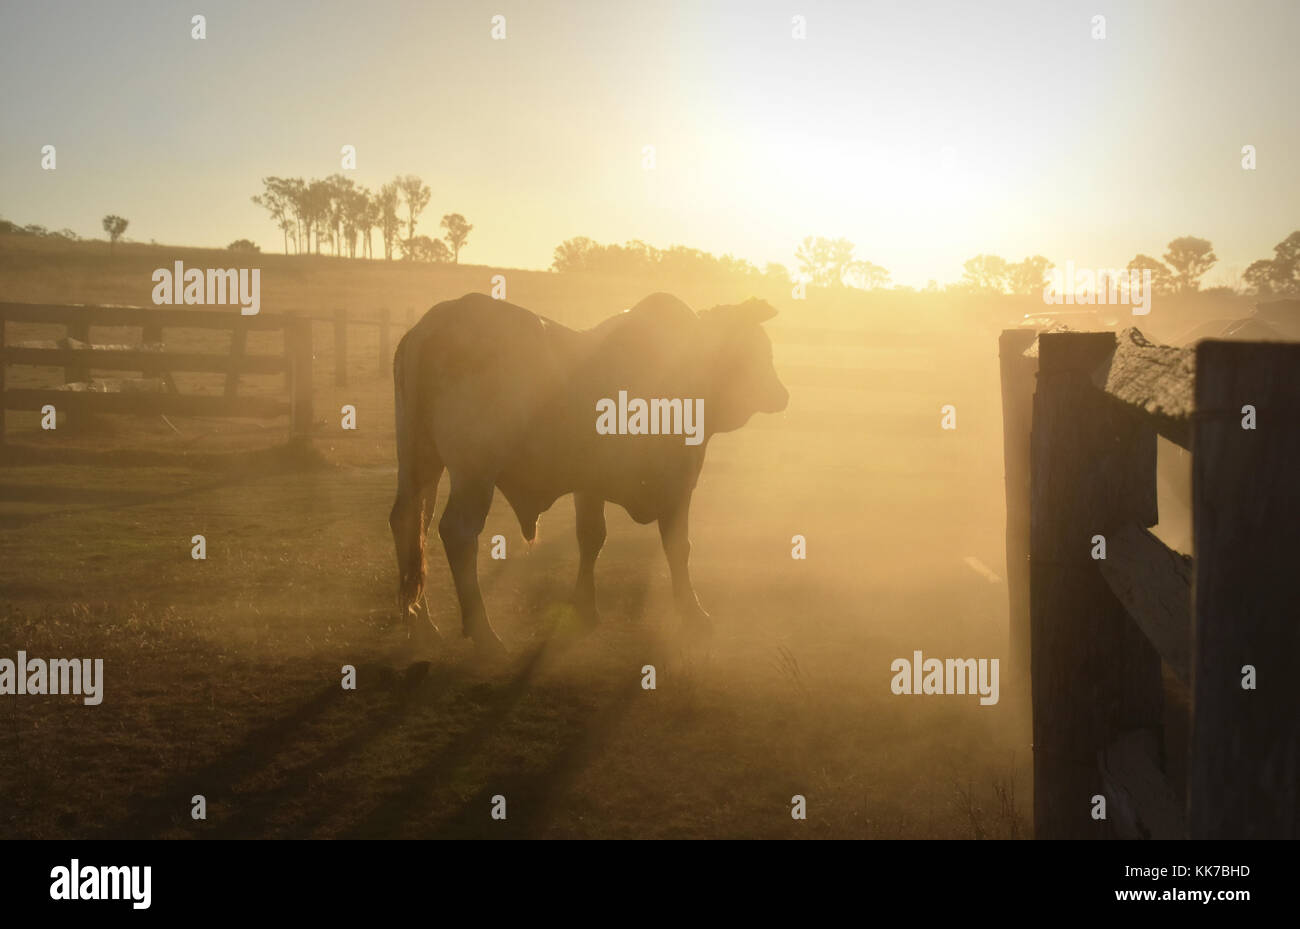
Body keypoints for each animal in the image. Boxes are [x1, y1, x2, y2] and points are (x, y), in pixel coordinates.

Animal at [388, 292, 788, 653]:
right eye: (759, 352)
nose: (782, 394)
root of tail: (431, 326)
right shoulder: (678, 483)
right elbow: (678, 547)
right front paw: (694, 614)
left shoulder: (589, 484)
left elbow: (591, 537)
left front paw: (585, 607)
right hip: (475, 472)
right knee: (457, 533)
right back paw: (484, 633)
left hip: (419, 463)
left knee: (410, 524)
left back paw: (422, 625)